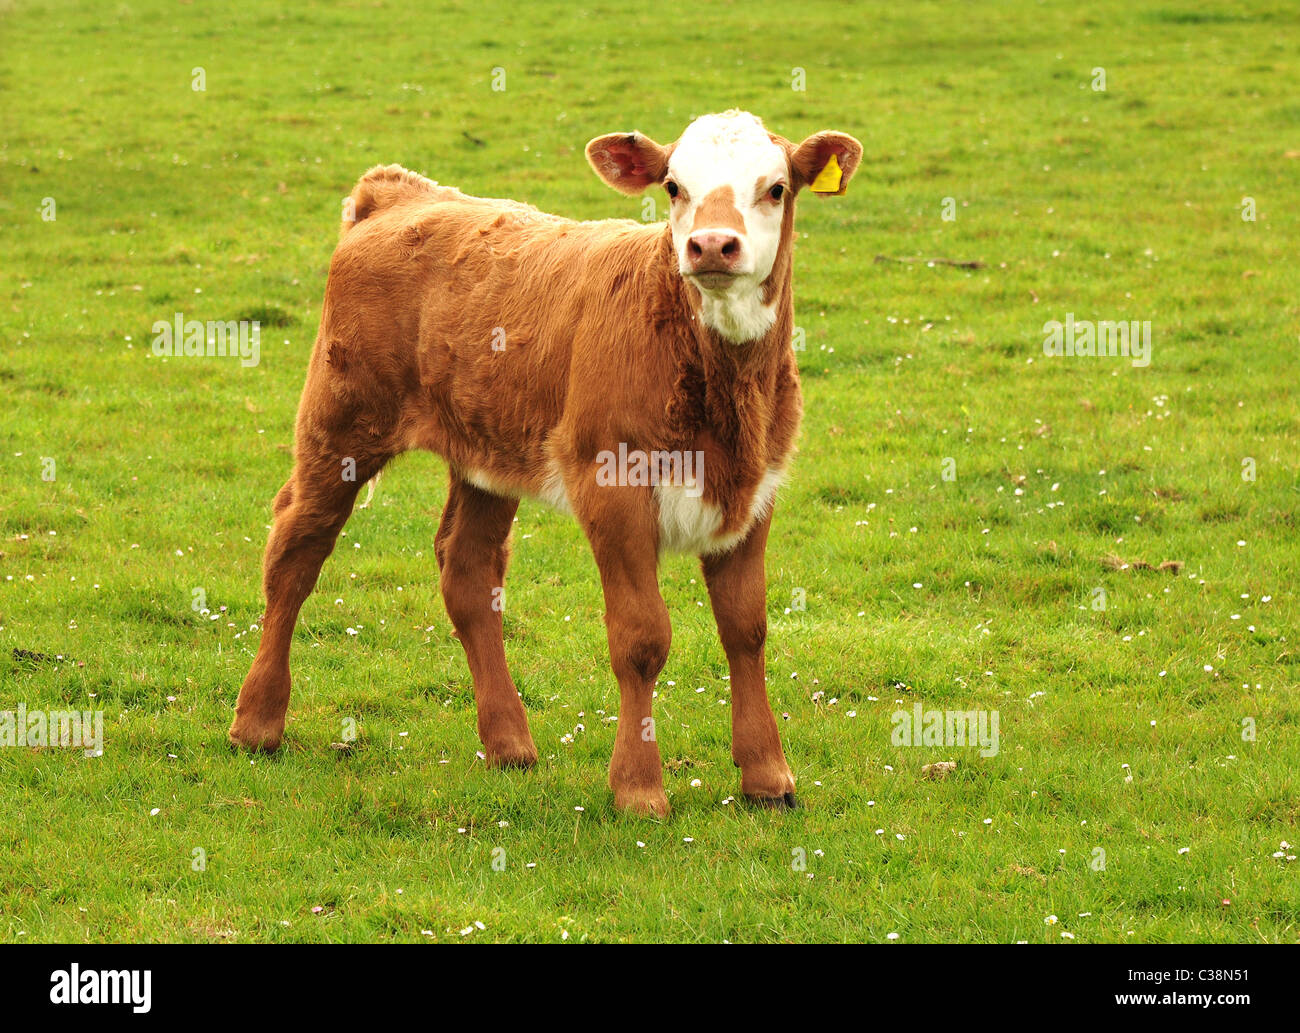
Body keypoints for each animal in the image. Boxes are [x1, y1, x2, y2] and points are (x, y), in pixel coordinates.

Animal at [229, 110, 862, 816]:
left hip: (484, 450)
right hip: (340, 420)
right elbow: (641, 637)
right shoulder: (611, 485)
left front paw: (767, 776)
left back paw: (509, 743)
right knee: (296, 550)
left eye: (776, 188)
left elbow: (746, 628)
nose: (711, 245)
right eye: (673, 186)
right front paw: (638, 787)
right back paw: (257, 723)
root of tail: (402, 193)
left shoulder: (757, 490)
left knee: (467, 568)